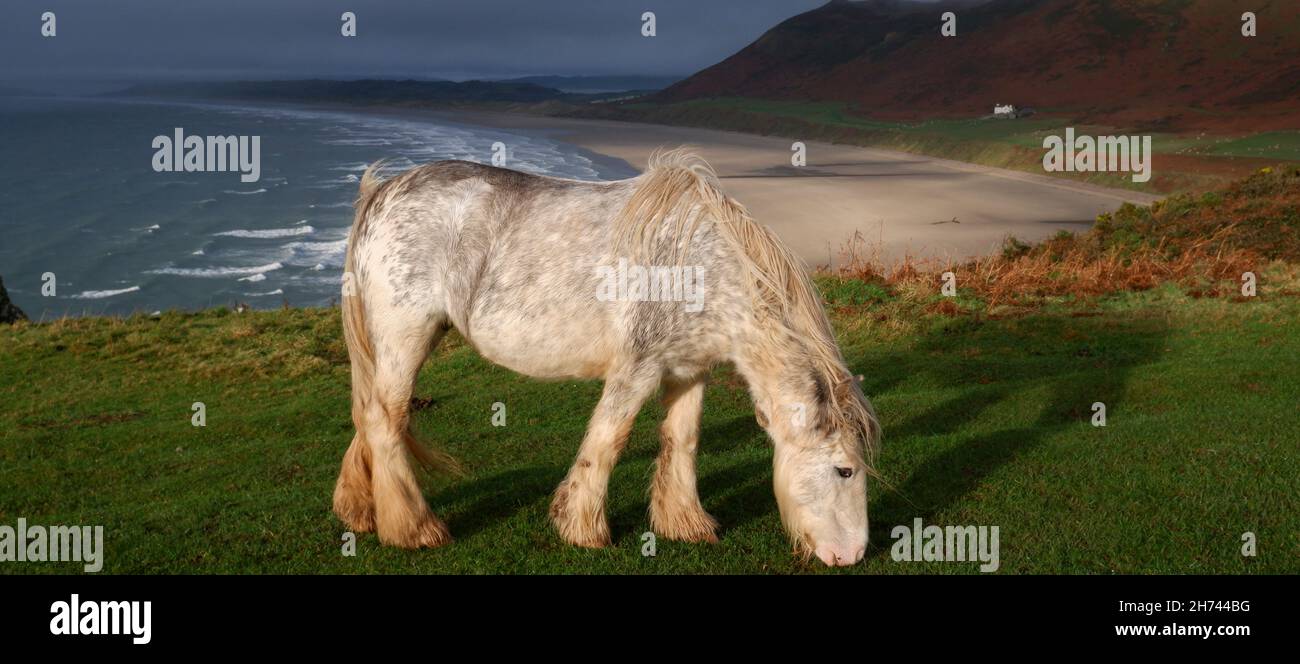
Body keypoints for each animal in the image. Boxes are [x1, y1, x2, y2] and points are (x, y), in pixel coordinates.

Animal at [332, 149, 880, 566]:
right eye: (845, 471)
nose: (852, 556)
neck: (699, 263)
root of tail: (383, 193)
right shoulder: (637, 369)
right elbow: (608, 440)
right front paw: (582, 527)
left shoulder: (689, 371)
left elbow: (682, 440)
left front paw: (685, 522)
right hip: (406, 335)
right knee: (386, 419)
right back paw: (413, 528)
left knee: (368, 415)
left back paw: (361, 510)